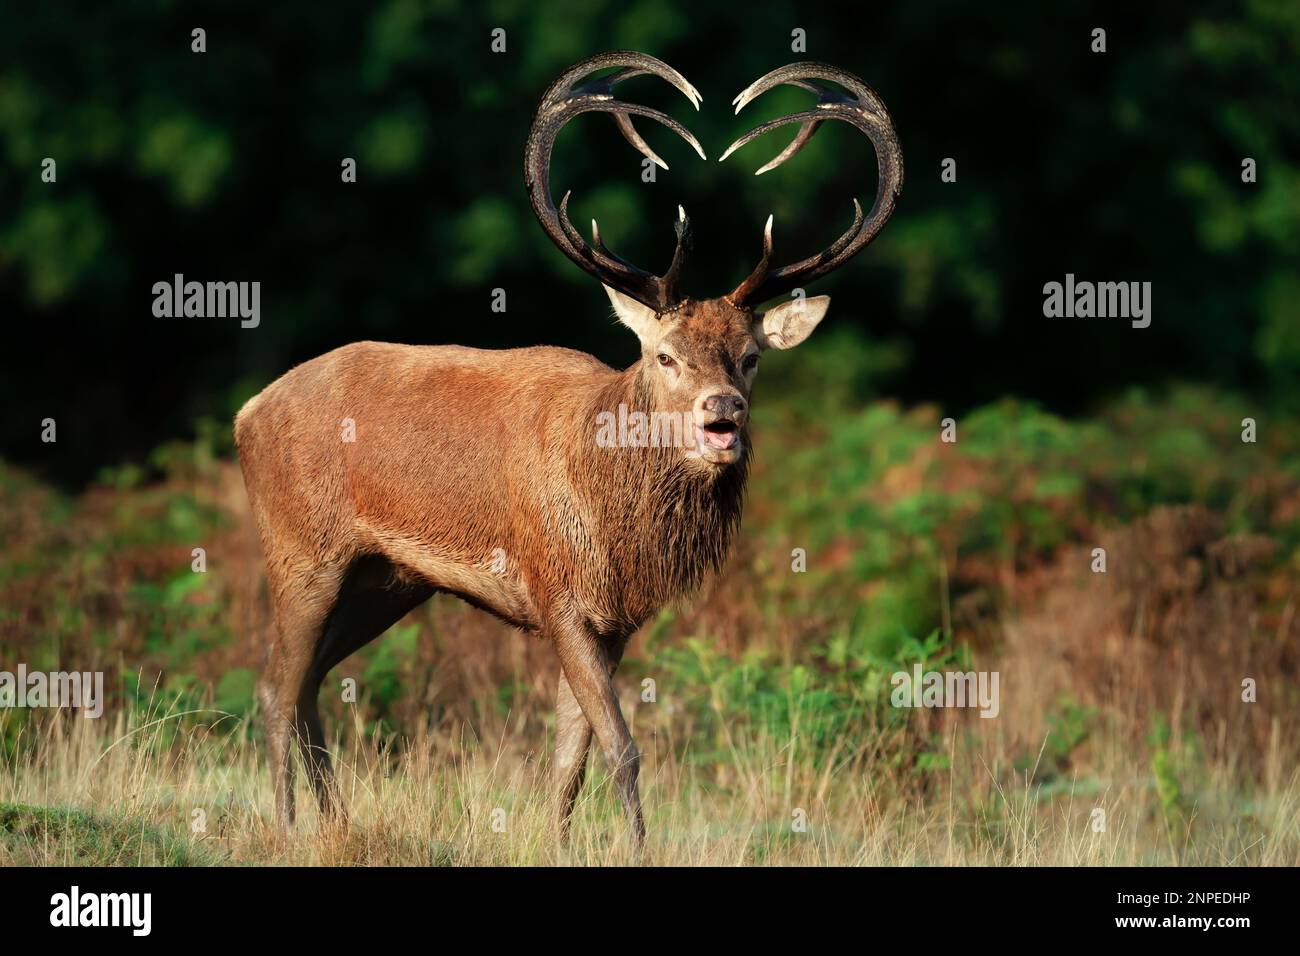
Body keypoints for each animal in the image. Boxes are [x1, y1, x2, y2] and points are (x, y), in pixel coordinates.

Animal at [234, 51, 902, 844]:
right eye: (666, 356)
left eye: (751, 357)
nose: (724, 411)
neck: (613, 517)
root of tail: (247, 414)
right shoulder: (559, 594)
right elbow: (621, 746)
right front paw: (638, 847)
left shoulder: (615, 621)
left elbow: (569, 757)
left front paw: (554, 841)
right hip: (302, 550)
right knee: (274, 687)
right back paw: (287, 827)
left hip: (385, 580)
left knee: (307, 684)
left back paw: (337, 823)